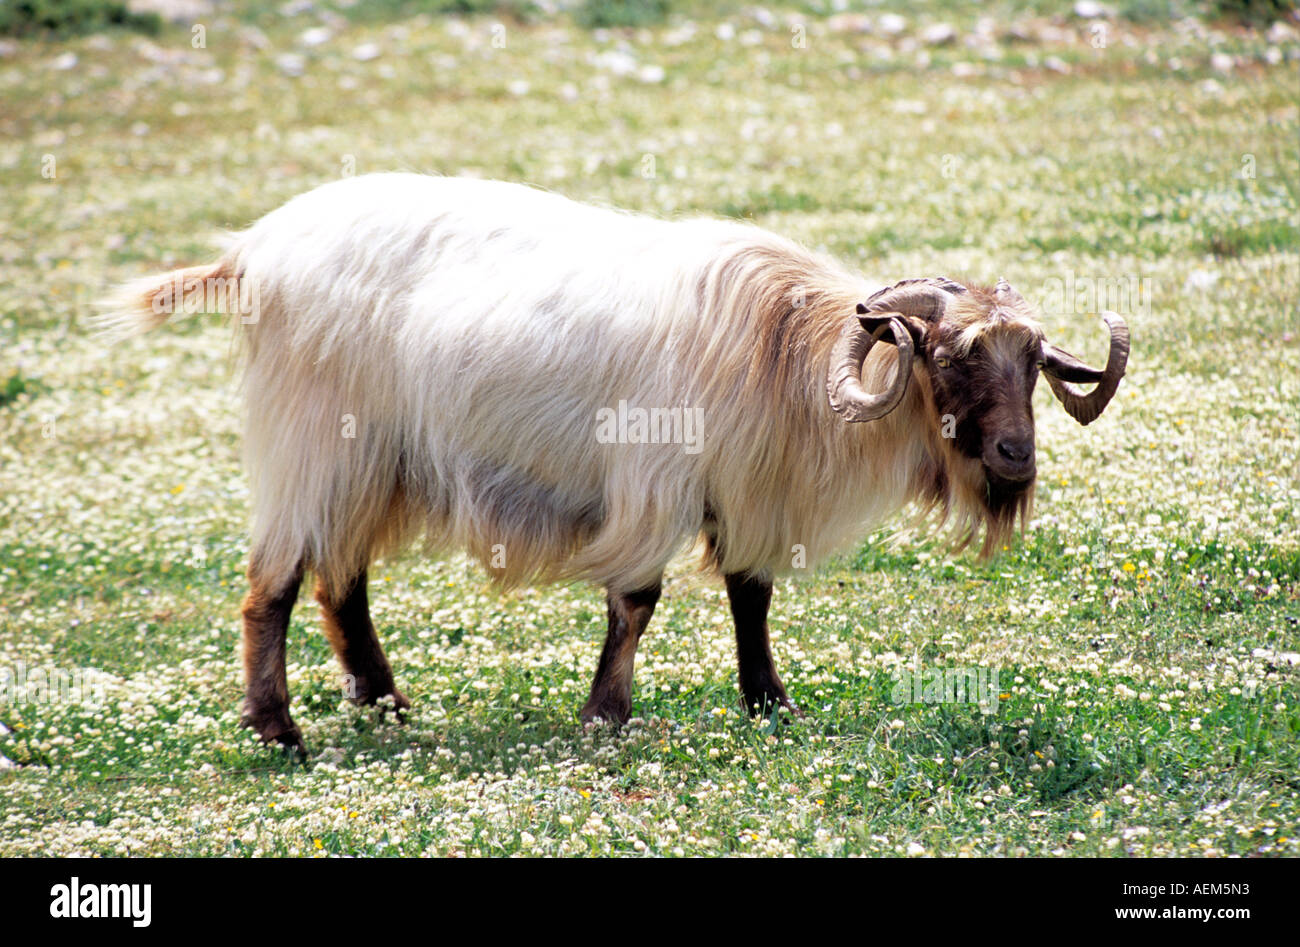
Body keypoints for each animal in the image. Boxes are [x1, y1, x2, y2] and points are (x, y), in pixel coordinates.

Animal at [102, 173, 1128, 754]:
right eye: (951, 355)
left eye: (1033, 363)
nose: (1015, 457)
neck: (783, 348)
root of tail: (253, 250)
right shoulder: (656, 478)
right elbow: (636, 600)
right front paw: (606, 714)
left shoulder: (740, 488)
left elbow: (751, 596)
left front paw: (770, 703)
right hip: (315, 441)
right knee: (272, 583)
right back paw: (279, 731)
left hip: (374, 461)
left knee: (338, 582)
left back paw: (384, 702)